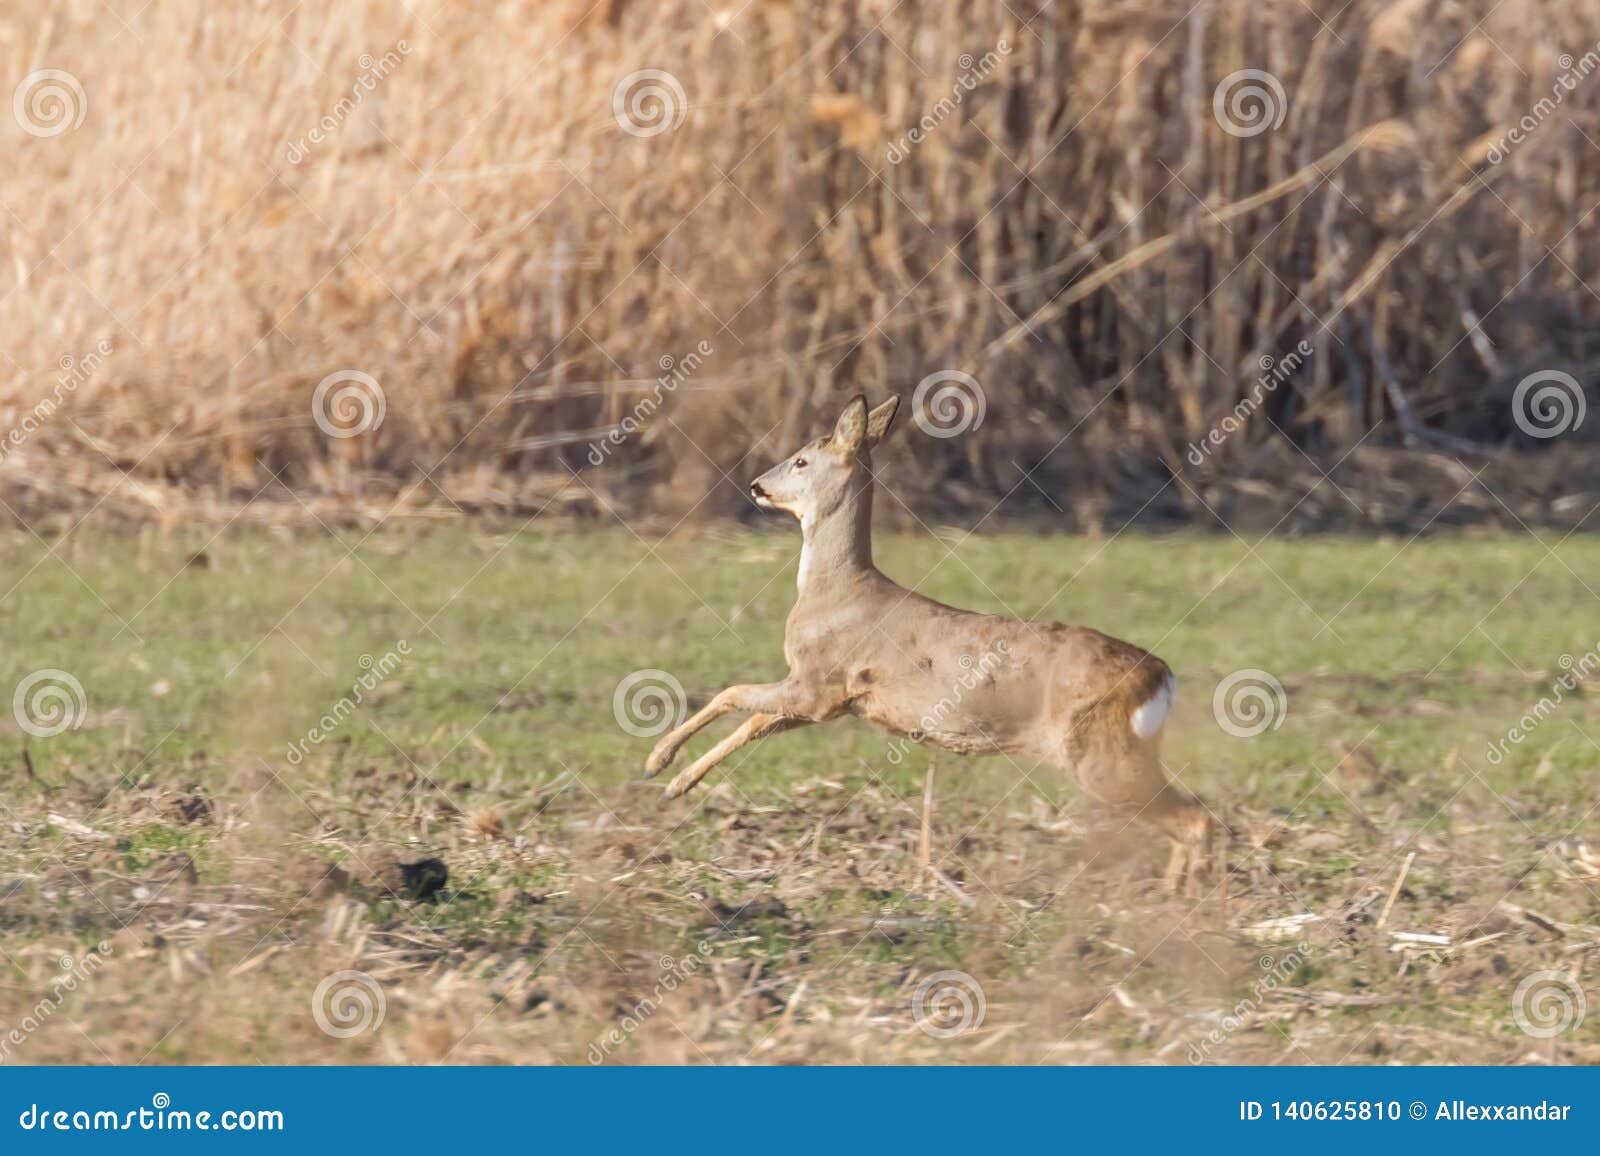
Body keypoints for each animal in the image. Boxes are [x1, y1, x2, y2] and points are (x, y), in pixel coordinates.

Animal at [643, 395, 1214, 893]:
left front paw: (657, 761)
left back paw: (1181, 906)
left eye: (802, 459)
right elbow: (754, 722)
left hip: (1100, 754)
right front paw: (677, 782)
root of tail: (1162, 674)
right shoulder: (829, 700)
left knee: (1196, 818)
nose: (756, 485)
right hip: (1125, 751)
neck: (835, 590)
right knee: (1193, 812)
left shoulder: (818, 683)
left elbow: (731, 694)